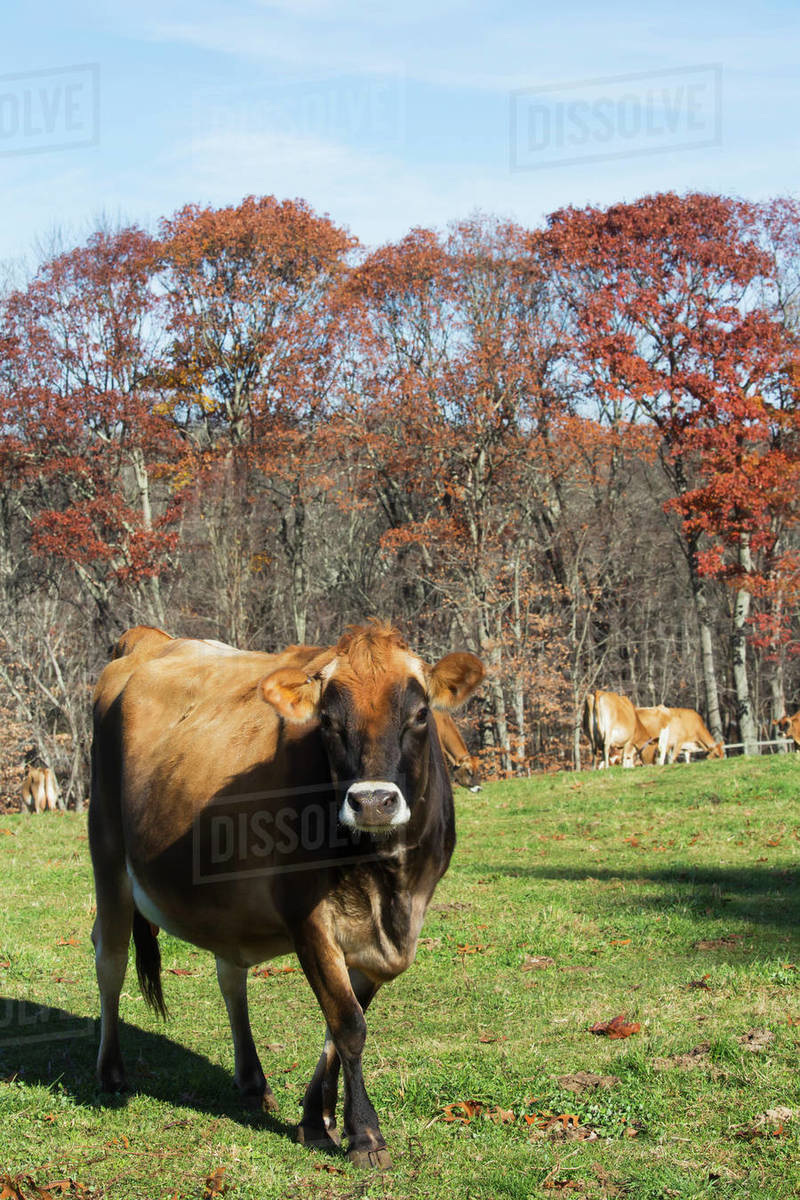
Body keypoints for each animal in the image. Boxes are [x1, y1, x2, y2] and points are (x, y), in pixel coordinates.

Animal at [89, 623, 484, 1169]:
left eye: (421, 713)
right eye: (327, 722)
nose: (372, 802)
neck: (388, 882)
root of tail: (149, 639)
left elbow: (339, 1028)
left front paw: (318, 1119)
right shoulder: (308, 918)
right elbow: (347, 1023)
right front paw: (365, 1135)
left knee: (230, 977)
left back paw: (253, 1082)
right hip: (106, 854)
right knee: (110, 959)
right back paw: (110, 1072)